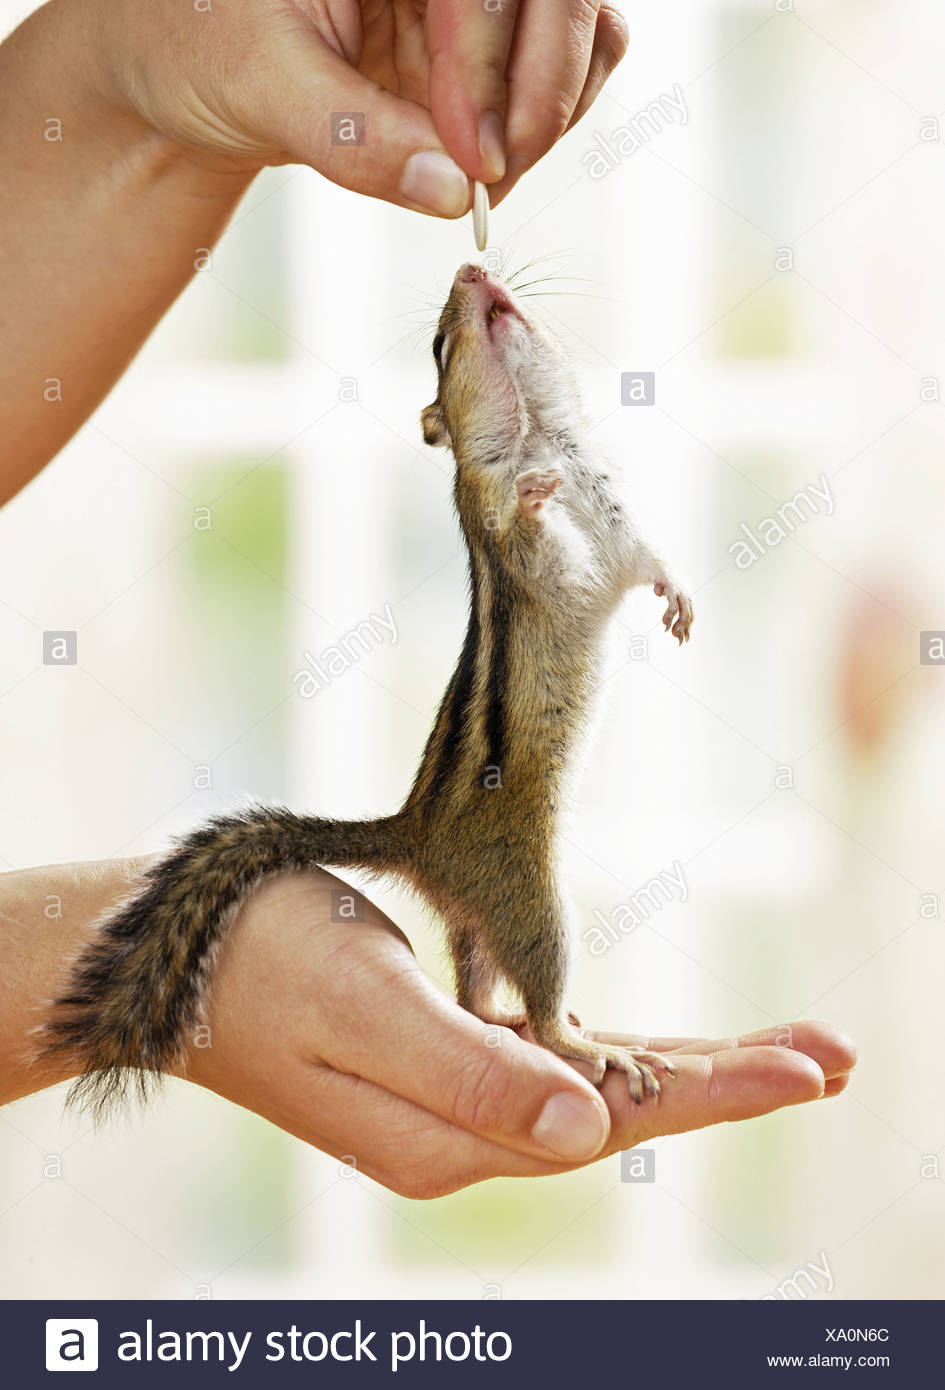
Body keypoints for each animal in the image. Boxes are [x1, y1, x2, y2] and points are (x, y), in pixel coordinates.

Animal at [39, 262, 693, 1115]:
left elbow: (645, 558)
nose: (471, 268)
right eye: (440, 345)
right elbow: (521, 534)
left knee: (471, 993)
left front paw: (678, 598)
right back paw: (583, 1044)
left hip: (479, 916)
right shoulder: (503, 523)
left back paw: (506, 1019)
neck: (535, 433)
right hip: (532, 902)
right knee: (531, 1000)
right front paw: (532, 499)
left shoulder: (615, 517)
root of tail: (413, 837)